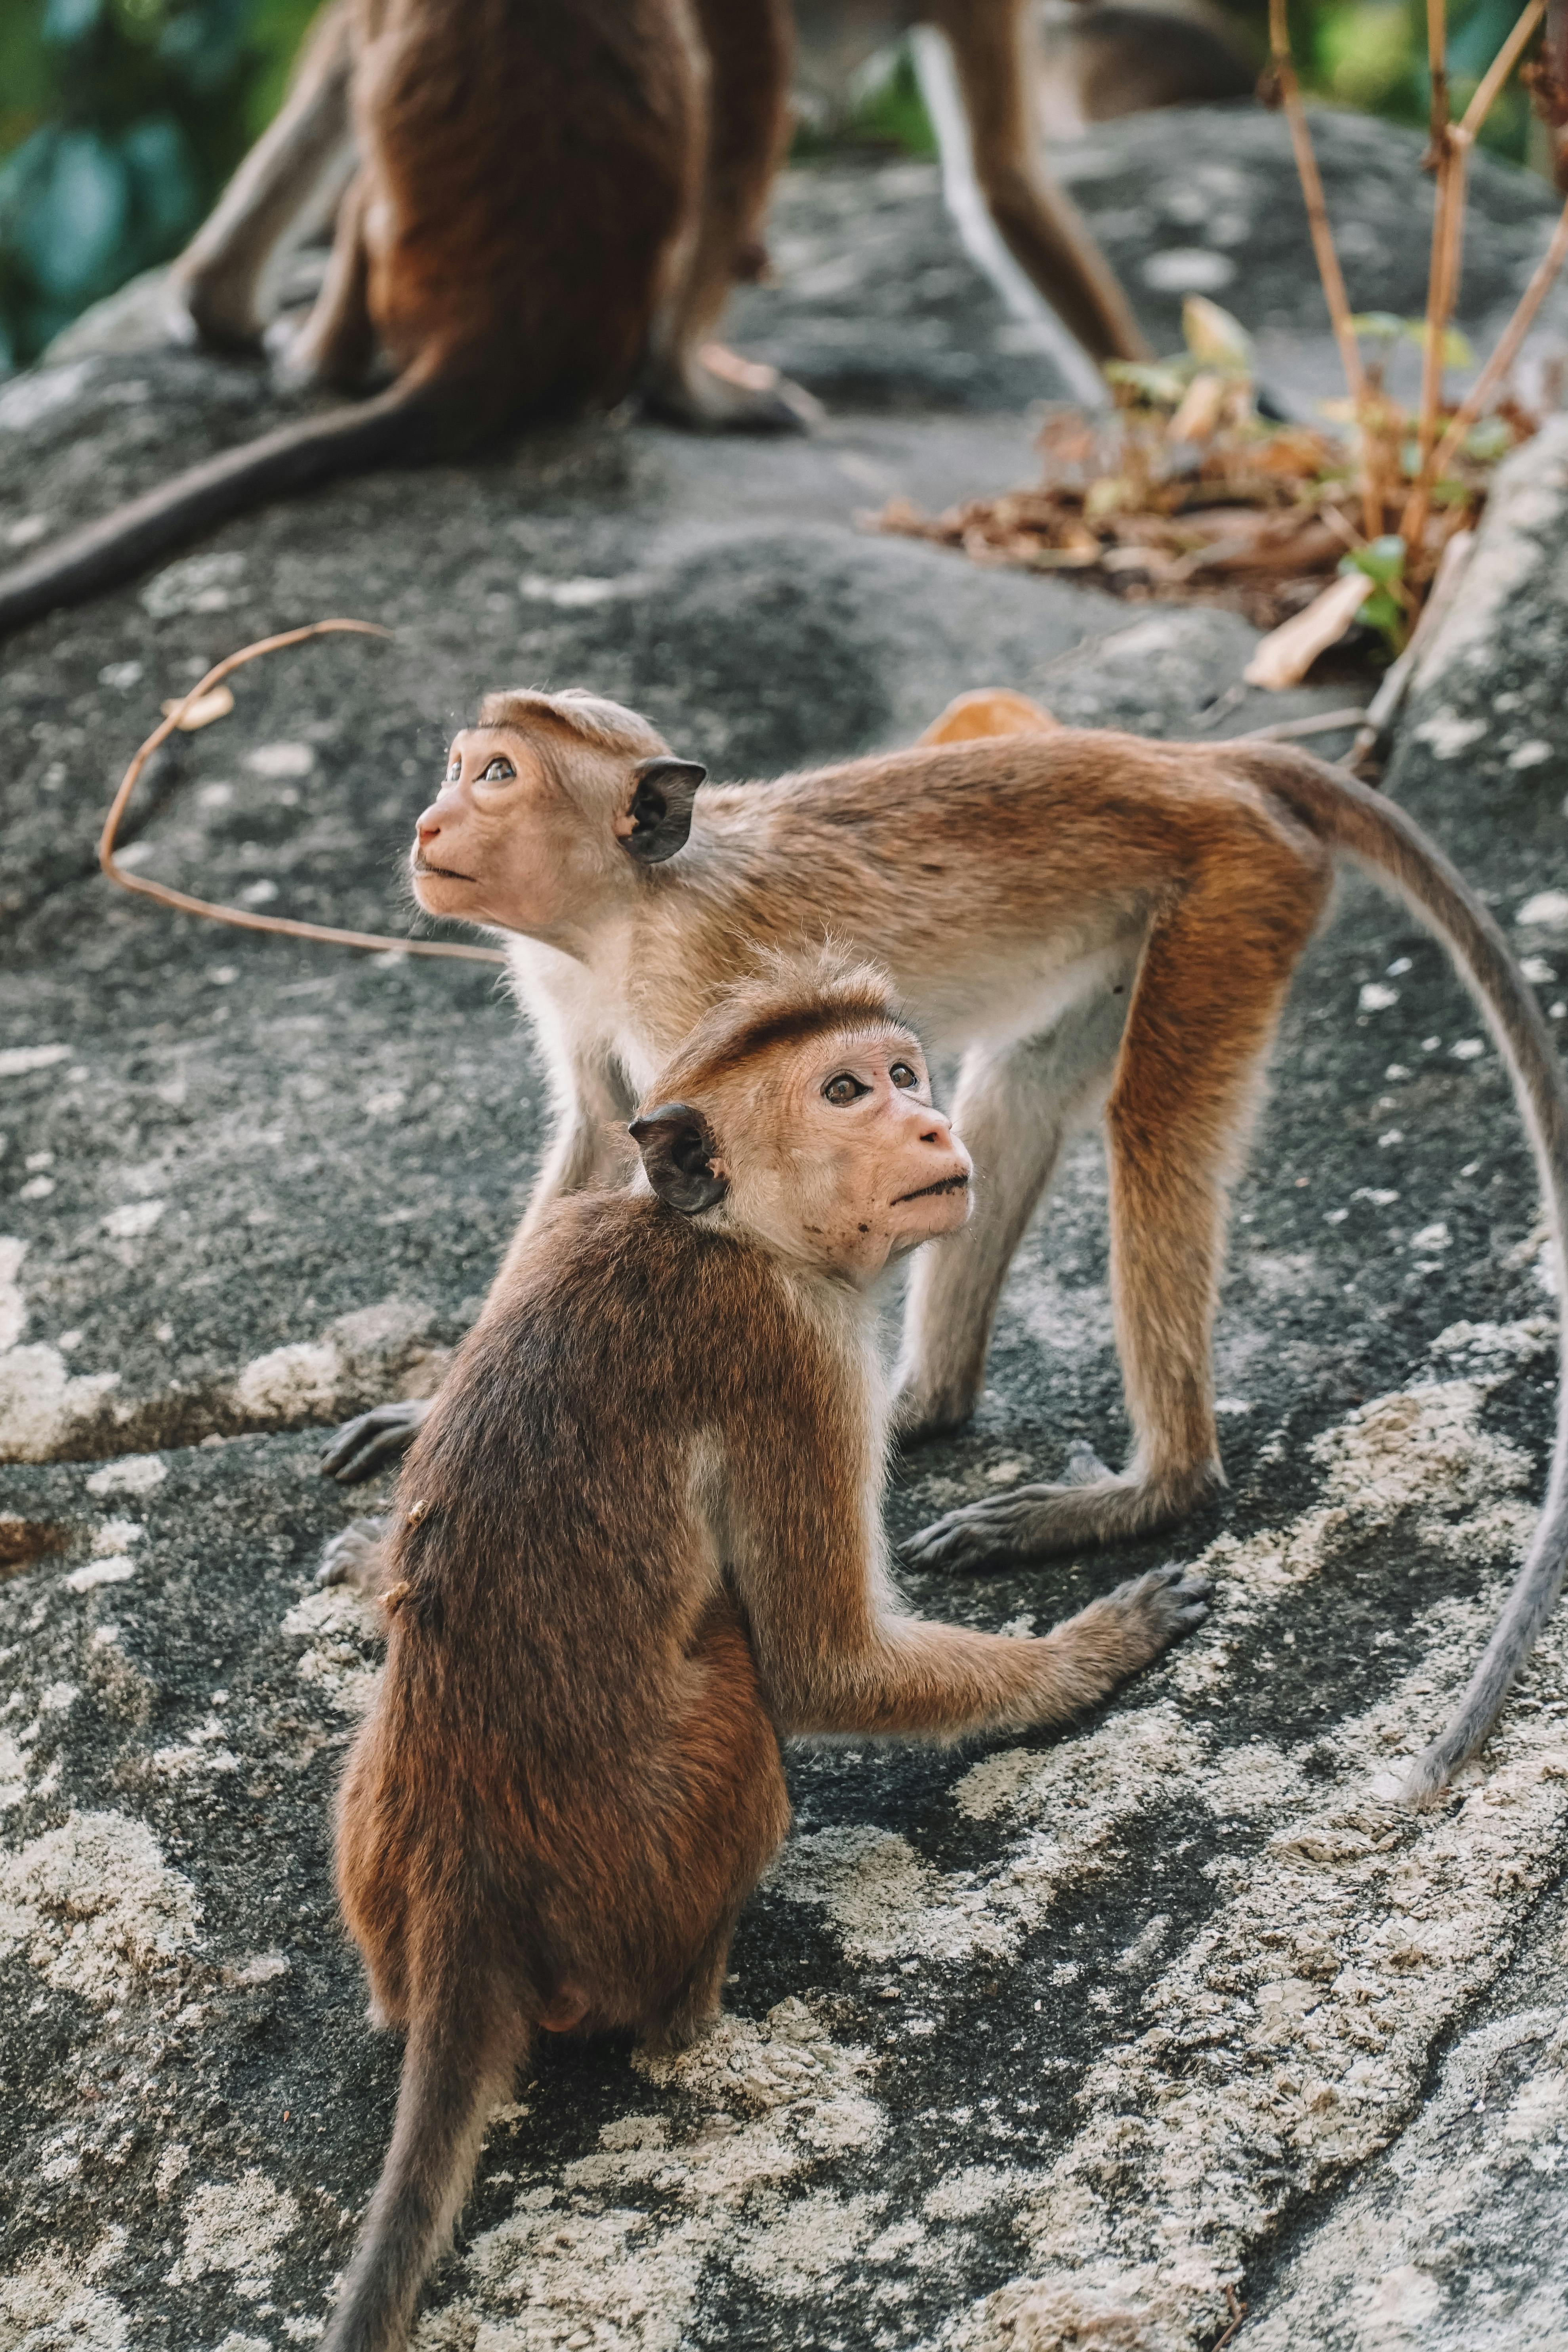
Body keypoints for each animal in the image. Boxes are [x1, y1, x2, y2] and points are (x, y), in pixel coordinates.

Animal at [316, 951, 1211, 2352]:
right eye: (845, 1091)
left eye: (901, 1072)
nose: (927, 1122)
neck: (712, 1231)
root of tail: (464, 1888)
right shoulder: (792, 1357)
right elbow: (818, 1661)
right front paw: (1092, 1647)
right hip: (648, 1865)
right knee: (737, 1677)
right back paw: (692, 2008)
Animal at [318, 684, 1568, 1803]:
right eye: (458, 767)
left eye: (496, 776)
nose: (428, 824)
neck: (626, 909)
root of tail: (1199, 762)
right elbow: (593, 1138)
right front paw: (432, 1415)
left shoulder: (700, 985)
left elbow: (664, 1176)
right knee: (1010, 1097)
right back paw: (920, 1408)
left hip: (1231, 889)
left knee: (1151, 1125)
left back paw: (1145, 1489)